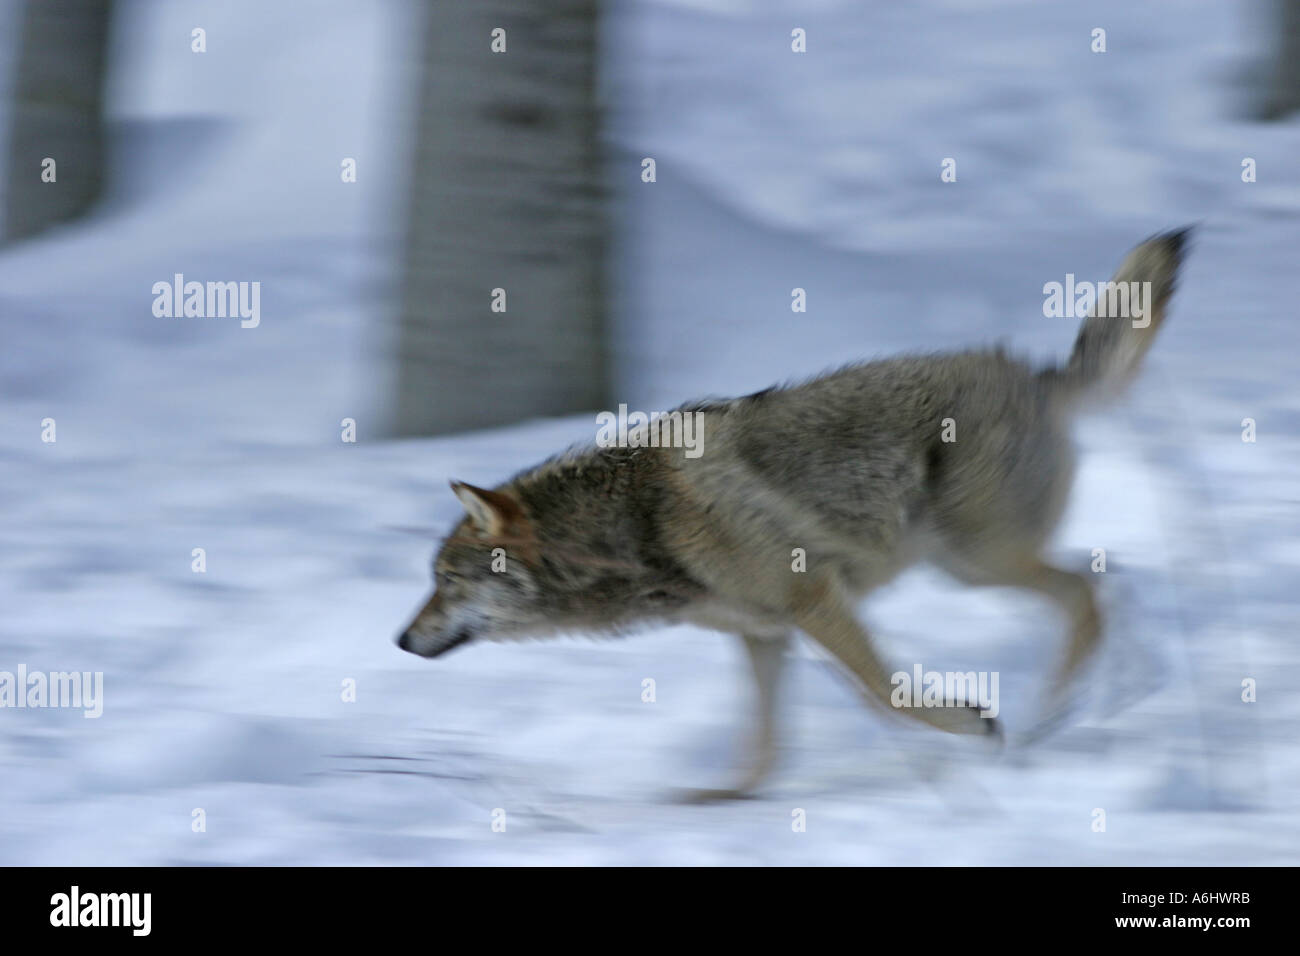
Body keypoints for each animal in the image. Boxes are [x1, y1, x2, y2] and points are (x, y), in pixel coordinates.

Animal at [397, 229, 1190, 799]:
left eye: (448, 581)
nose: (402, 641)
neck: (636, 526)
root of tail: (1035, 374)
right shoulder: (765, 637)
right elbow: (763, 750)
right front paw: (716, 804)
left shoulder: (814, 601)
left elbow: (887, 696)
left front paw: (973, 725)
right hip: (970, 565)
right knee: (1105, 581)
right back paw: (1102, 698)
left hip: (973, 562)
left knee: (1088, 591)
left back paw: (1050, 717)